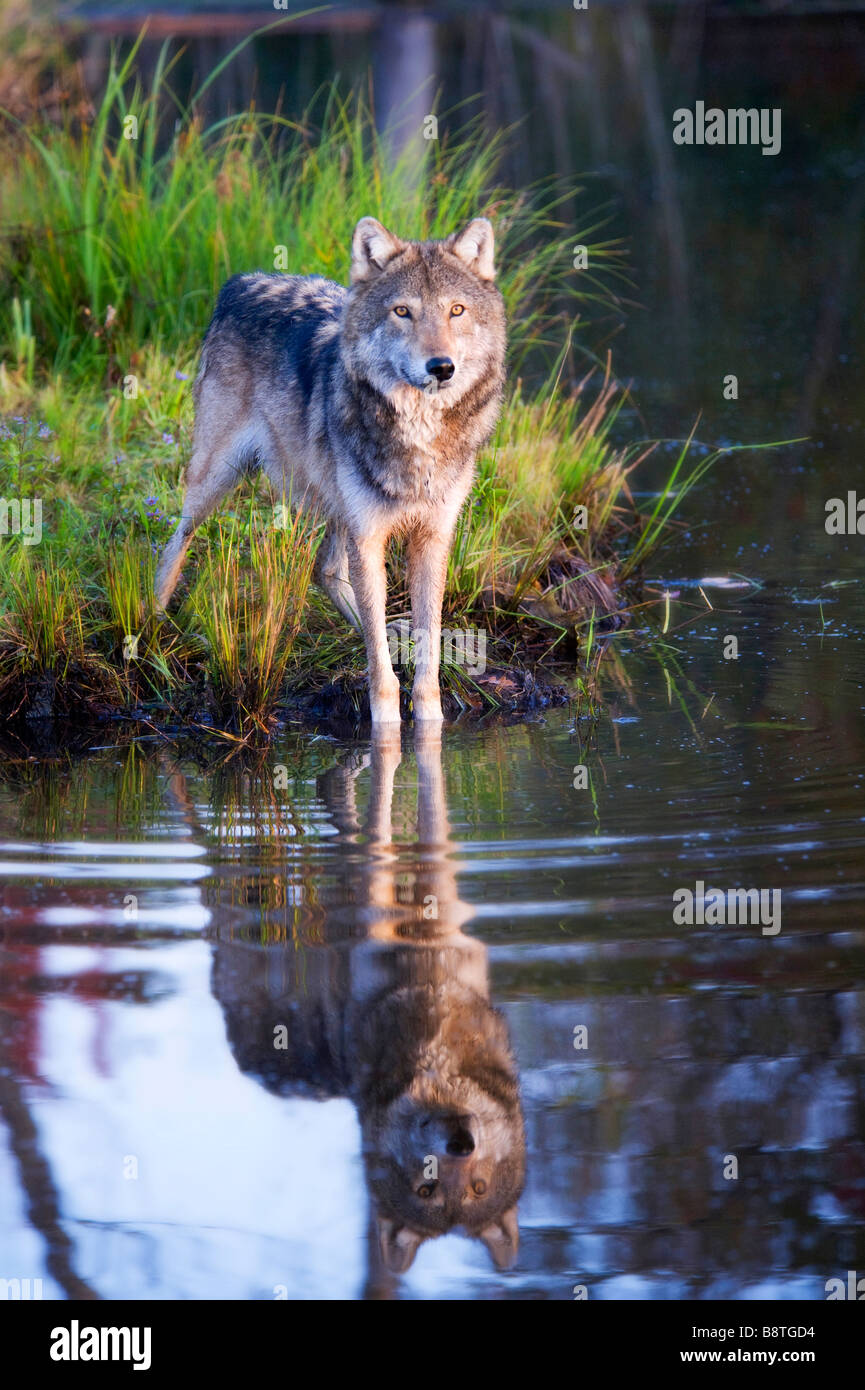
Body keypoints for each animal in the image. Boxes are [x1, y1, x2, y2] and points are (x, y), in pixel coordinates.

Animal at [154, 218, 506, 724]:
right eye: (402, 312)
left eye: (456, 310)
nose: (441, 367)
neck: (418, 434)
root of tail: (241, 282)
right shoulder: (370, 533)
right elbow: (379, 668)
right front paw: (386, 721)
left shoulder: (432, 536)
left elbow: (428, 648)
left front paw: (430, 715)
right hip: (217, 477)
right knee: (177, 539)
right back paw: (152, 626)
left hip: (336, 506)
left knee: (327, 571)